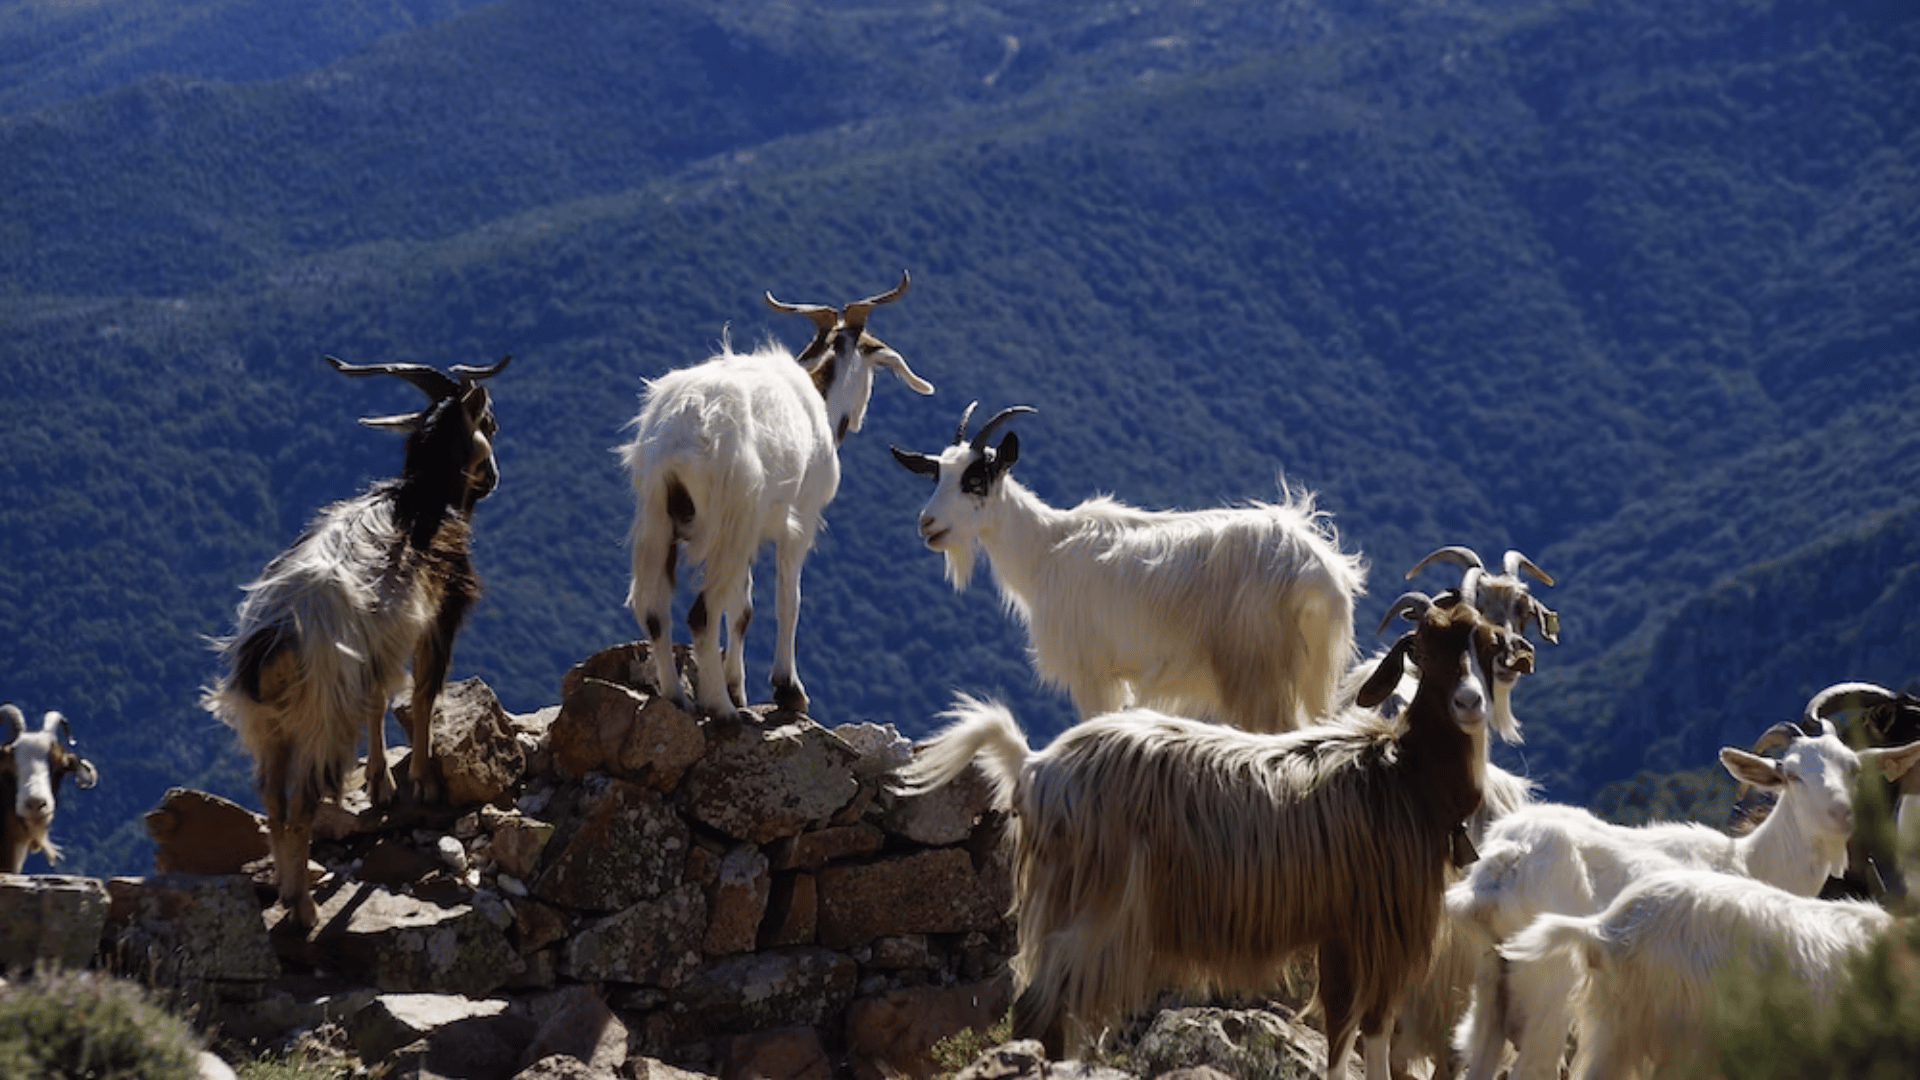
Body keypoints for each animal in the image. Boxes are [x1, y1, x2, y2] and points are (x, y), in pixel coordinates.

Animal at [203, 355, 507, 927]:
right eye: (490, 424)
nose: (494, 478)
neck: (423, 498)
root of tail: (276, 637)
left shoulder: (376, 649)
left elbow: (379, 700)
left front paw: (381, 784)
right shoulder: (437, 616)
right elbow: (424, 694)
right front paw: (423, 780)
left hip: (268, 724)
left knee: (274, 802)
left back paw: (290, 889)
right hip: (322, 713)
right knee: (301, 804)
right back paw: (303, 910)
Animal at [622, 272, 933, 718]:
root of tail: (684, 431)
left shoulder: (748, 537)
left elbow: (743, 610)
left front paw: (738, 687)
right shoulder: (798, 521)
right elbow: (789, 601)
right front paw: (788, 690)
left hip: (658, 517)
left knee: (654, 608)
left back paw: (678, 697)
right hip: (730, 519)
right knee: (701, 613)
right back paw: (720, 708)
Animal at [890, 403, 1365, 732]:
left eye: (976, 480)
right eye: (937, 476)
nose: (927, 524)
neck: (1045, 549)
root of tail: (1317, 569)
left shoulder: (1092, 671)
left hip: (1256, 667)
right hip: (1312, 671)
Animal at [893, 591, 1535, 1080]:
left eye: (1488, 648)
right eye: (1422, 649)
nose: (1469, 703)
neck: (1402, 774)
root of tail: (1032, 767)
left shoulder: (1339, 924)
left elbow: (1340, 1021)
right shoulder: (1382, 921)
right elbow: (1368, 1025)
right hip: (1096, 902)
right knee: (1041, 1004)